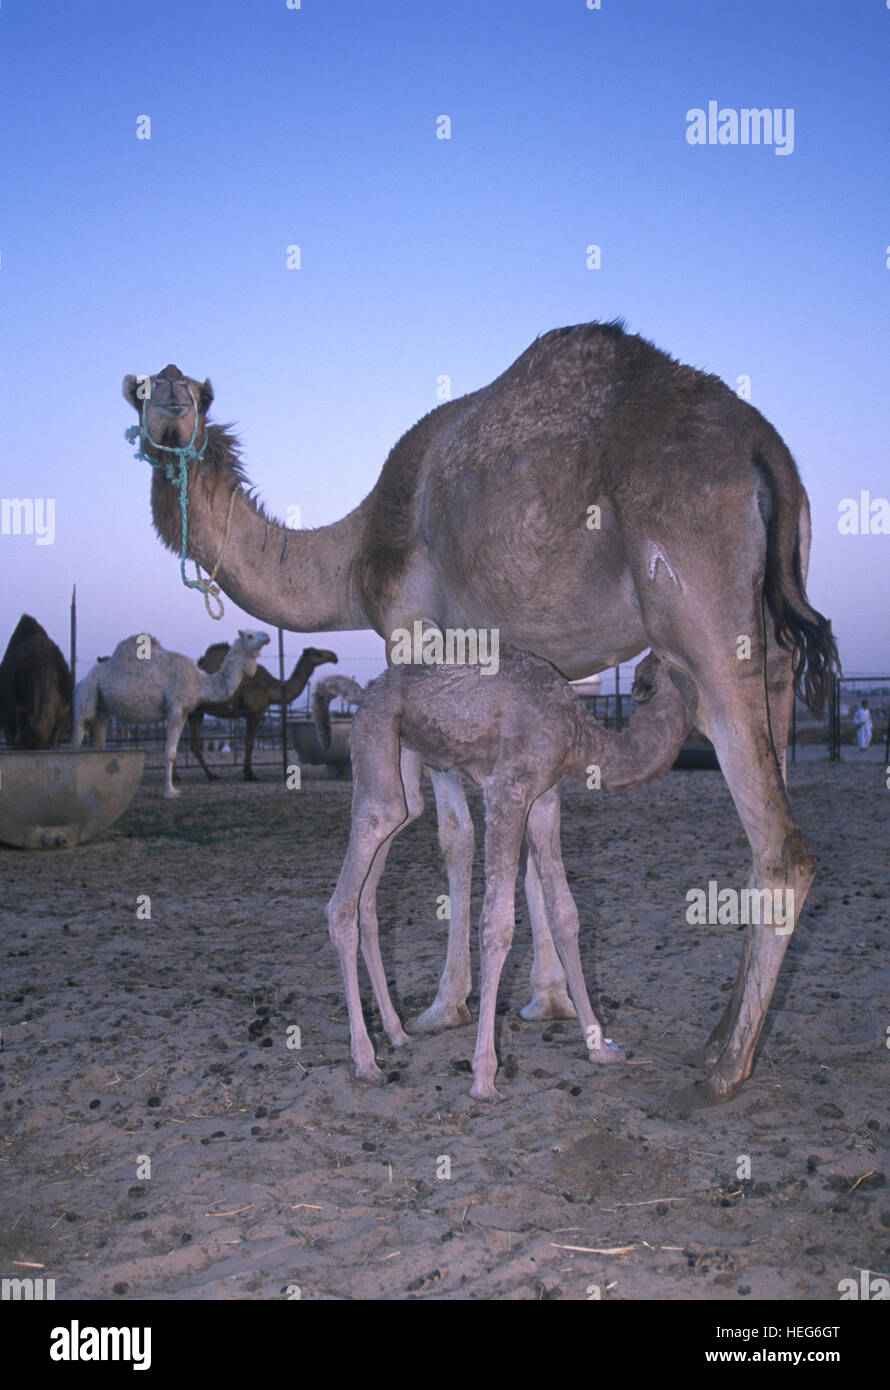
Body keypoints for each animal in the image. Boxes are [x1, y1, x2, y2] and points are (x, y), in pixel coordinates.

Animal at [72, 630, 269, 797]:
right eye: (250, 635)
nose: (267, 636)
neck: (200, 682)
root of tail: (82, 680)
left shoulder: (184, 712)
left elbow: (173, 751)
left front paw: (172, 787)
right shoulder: (174, 708)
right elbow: (169, 752)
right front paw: (169, 791)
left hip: (102, 709)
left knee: (98, 744)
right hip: (86, 694)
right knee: (77, 738)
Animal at [188, 643, 338, 780]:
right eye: (317, 653)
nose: (334, 656)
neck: (270, 688)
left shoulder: (259, 714)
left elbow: (250, 742)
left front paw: (248, 772)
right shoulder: (253, 713)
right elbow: (249, 743)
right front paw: (249, 774)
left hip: (196, 713)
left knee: (194, 745)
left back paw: (208, 775)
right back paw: (210, 775)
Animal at [327, 648, 690, 1097]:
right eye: (672, 661)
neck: (580, 736)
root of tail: (368, 691)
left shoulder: (544, 799)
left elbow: (565, 914)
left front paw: (599, 1046)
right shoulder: (508, 789)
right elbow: (496, 925)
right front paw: (484, 1076)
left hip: (402, 764)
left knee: (380, 868)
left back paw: (395, 1033)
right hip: (375, 738)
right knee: (345, 896)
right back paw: (365, 1060)